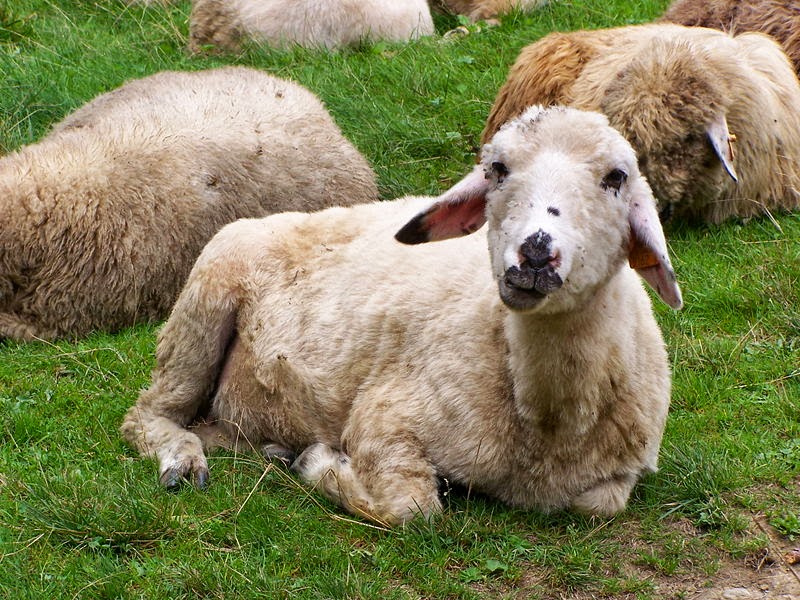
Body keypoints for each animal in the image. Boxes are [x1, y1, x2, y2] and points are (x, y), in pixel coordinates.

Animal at [121, 105, 683, 526]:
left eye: (616, 177)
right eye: (497, 169)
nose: (535, 254)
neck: (549, 422)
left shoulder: (620, 476)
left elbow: (599, 505)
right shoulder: (386, 419)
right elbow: (413, 508)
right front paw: (320, 462)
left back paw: (265, 448)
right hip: (201, 307)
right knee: (147, 414)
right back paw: (185, 460)